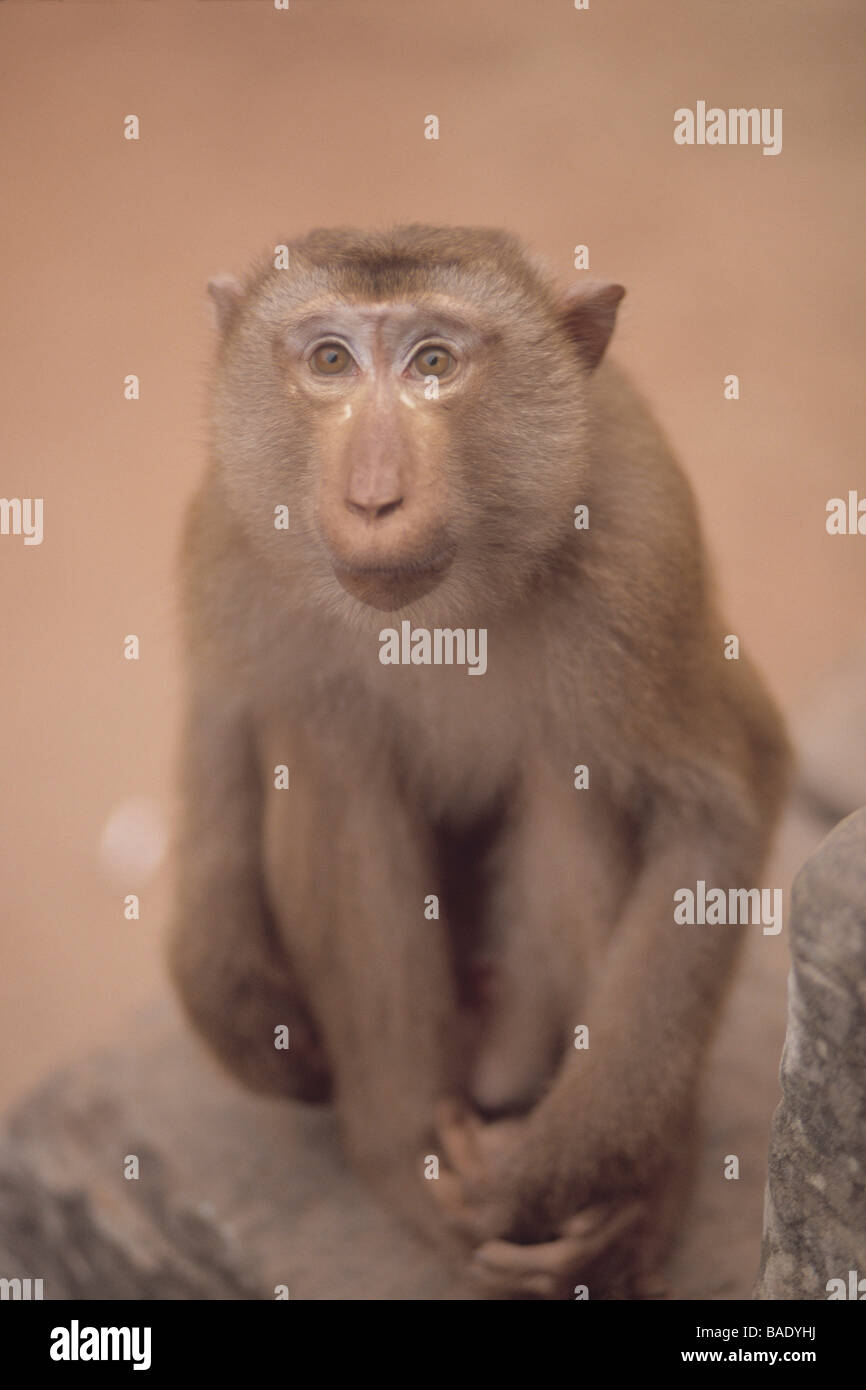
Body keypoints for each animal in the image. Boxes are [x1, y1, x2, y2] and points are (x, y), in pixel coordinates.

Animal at [167, 225, 790, 1299]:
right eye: (329, 361)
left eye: (434, 364)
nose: (374, 496)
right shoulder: (231, 537)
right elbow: (223, 730)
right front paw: (230, 998)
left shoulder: (643, 544)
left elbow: (720, 807)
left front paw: (556, 1178)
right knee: (328, 744)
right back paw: (399, 1155)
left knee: (569, 777)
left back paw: (627, 1197)